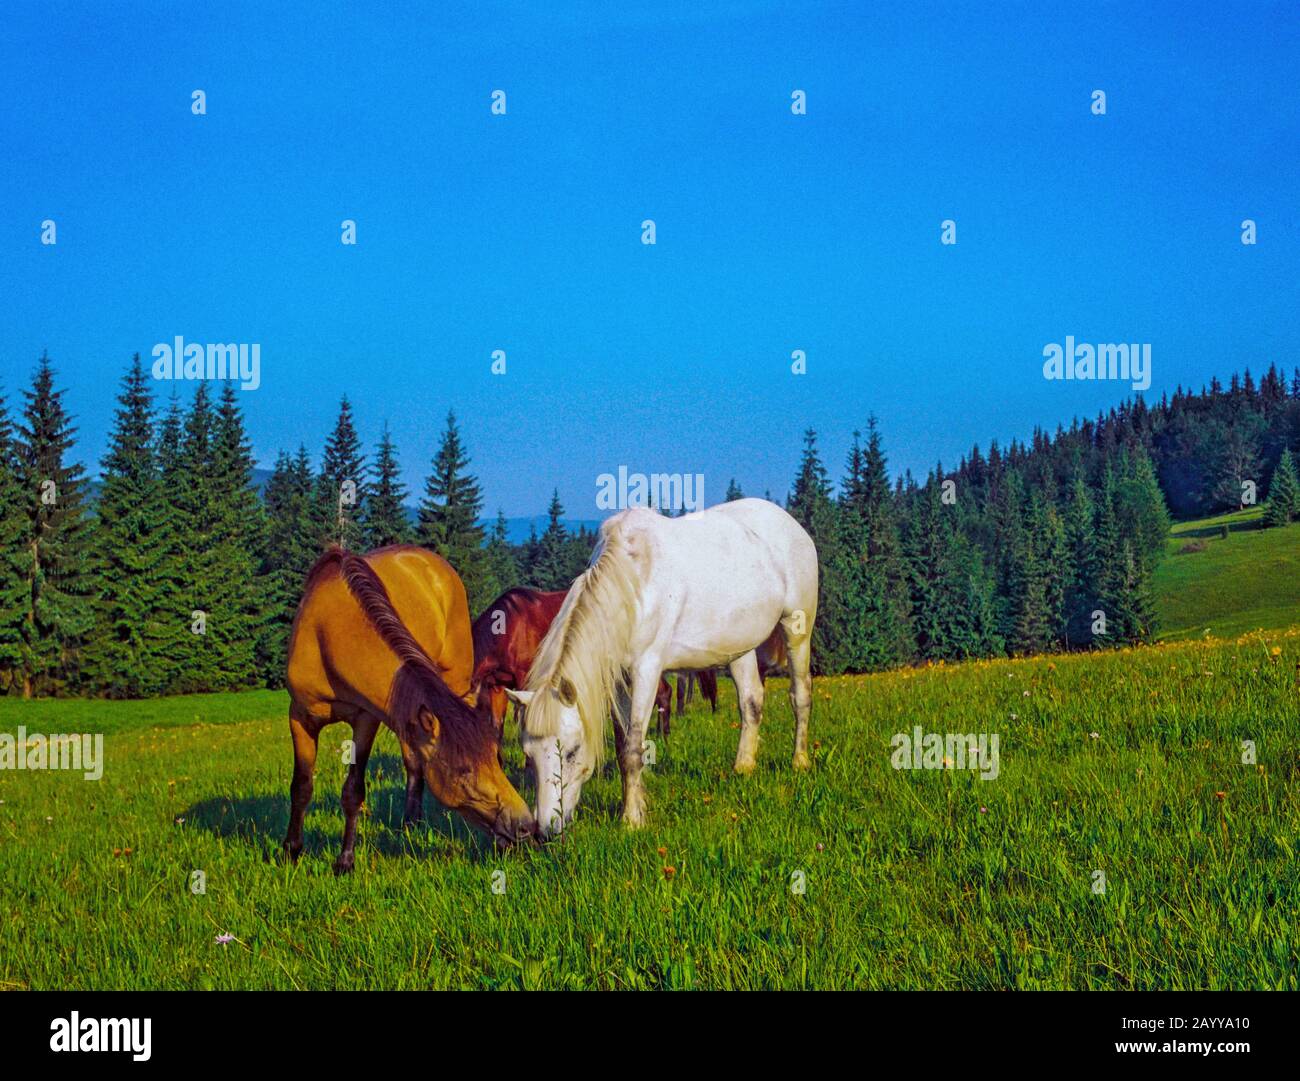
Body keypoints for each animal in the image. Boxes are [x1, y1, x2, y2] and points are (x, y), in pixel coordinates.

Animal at [284, 545, 536, 873]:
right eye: (463, 770)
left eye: (494, 758)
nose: (525, 826)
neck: (328, 633)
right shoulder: (300, 716)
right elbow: (301, 786)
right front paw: (291, 851)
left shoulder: (366, 719)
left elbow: (353, 790)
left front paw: (345, 860)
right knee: (413, 761)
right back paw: (410, 822)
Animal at [505, 498, 817, 837]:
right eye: (528, 754)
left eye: (572, 750)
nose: (546, 829)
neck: (633, 583)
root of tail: (791, 523)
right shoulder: (618, 679)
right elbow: (622, 746)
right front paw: (636, 806)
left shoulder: (647, 670)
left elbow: (633, 749)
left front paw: (631, 820)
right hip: (740, 646)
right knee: (751, 702)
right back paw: (743, 767)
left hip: (797, 629)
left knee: (800, 695)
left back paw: (800, 762)